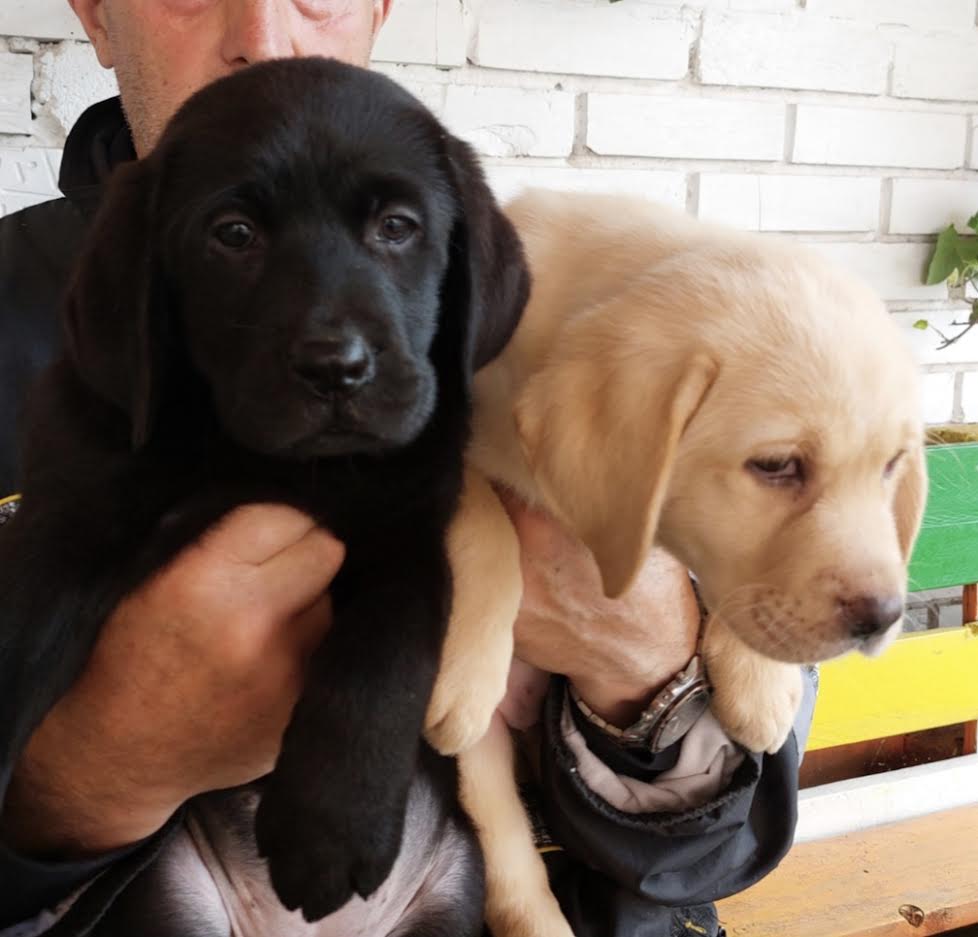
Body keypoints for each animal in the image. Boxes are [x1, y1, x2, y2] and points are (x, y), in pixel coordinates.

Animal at [0, 56, 528, 920]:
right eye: (235, 235)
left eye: (397, 227)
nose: (336, 367)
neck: (270, 461)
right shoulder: (72, 515)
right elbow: (13, 642)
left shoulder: (407, 530)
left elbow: (387, 652)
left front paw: (332, 828)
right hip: (171, 898)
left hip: (452, 895)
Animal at [424, 190, 928, 936]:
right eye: (776, 466)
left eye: (892, 465)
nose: (883, 618)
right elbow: (482, 515)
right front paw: (465, 666)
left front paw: (760, 683)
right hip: (482, 765)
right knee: (503, 838)